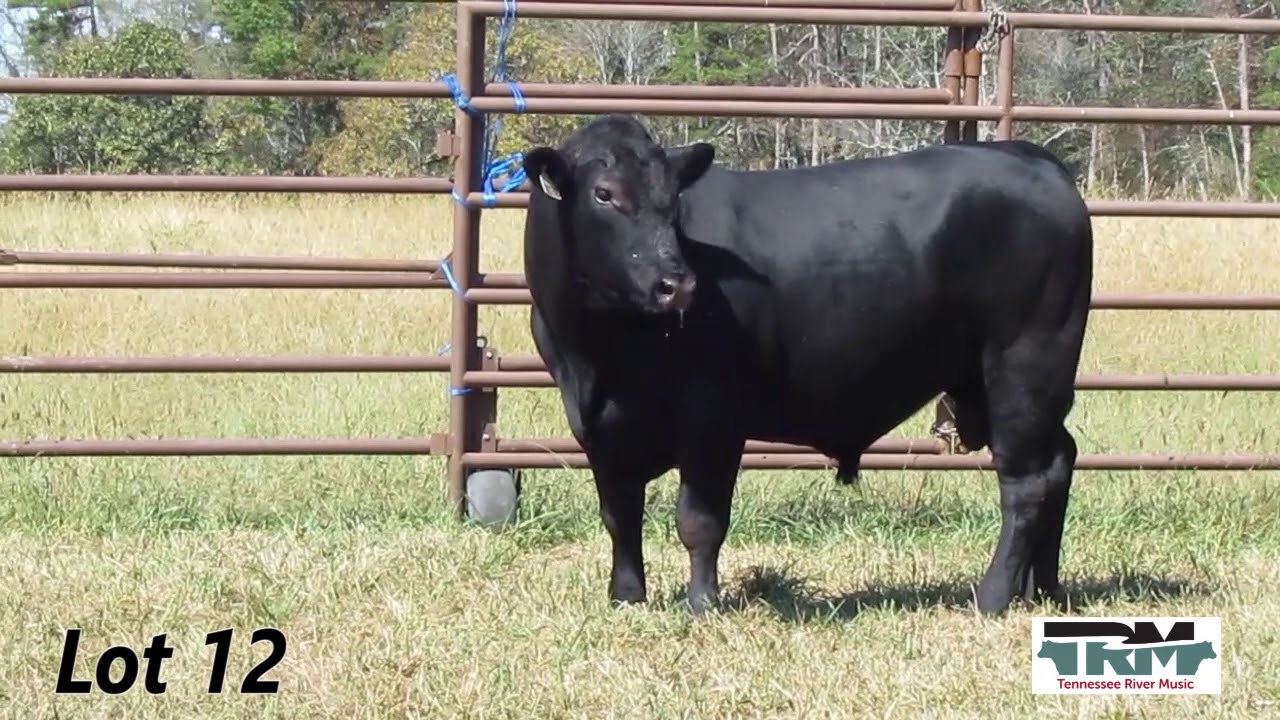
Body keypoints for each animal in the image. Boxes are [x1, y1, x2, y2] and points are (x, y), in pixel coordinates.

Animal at [520, 114, 1093, 618]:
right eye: (604, 193)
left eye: (672, 198)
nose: (675, 284)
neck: (600, 353)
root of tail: (1032, 159)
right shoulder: (596, 427)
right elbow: (620, 516)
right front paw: (626, 597)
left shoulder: (713, 419)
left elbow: (699, 521)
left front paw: (701, 603)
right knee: (1059, 460)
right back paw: (1042, 588)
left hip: (1024, 369)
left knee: (1027, 481)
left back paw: (993, 595)